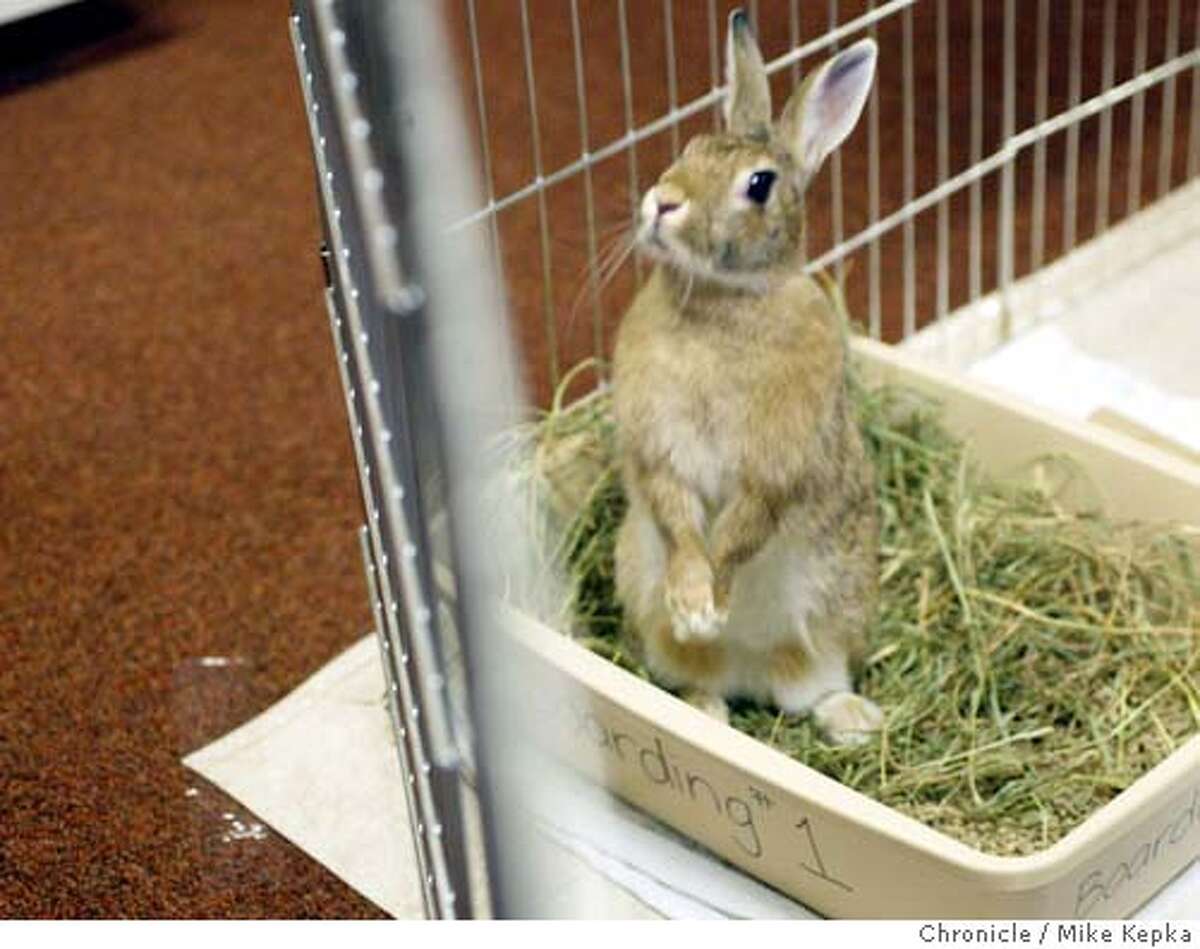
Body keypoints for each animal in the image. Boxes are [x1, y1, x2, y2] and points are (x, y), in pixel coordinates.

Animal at [611, 9, 883, 745]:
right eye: (691, 145)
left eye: (759, 185)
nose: (662, 203)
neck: (722, 300)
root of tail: (754, 676)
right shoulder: (660, 450)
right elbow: (680, 520)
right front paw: (693, 604)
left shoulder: (776, 466)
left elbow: (740, 531)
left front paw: (711, 600)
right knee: (697, 680)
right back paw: (706, 705)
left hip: (834, 612)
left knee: (813, 687)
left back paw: (854, 720)